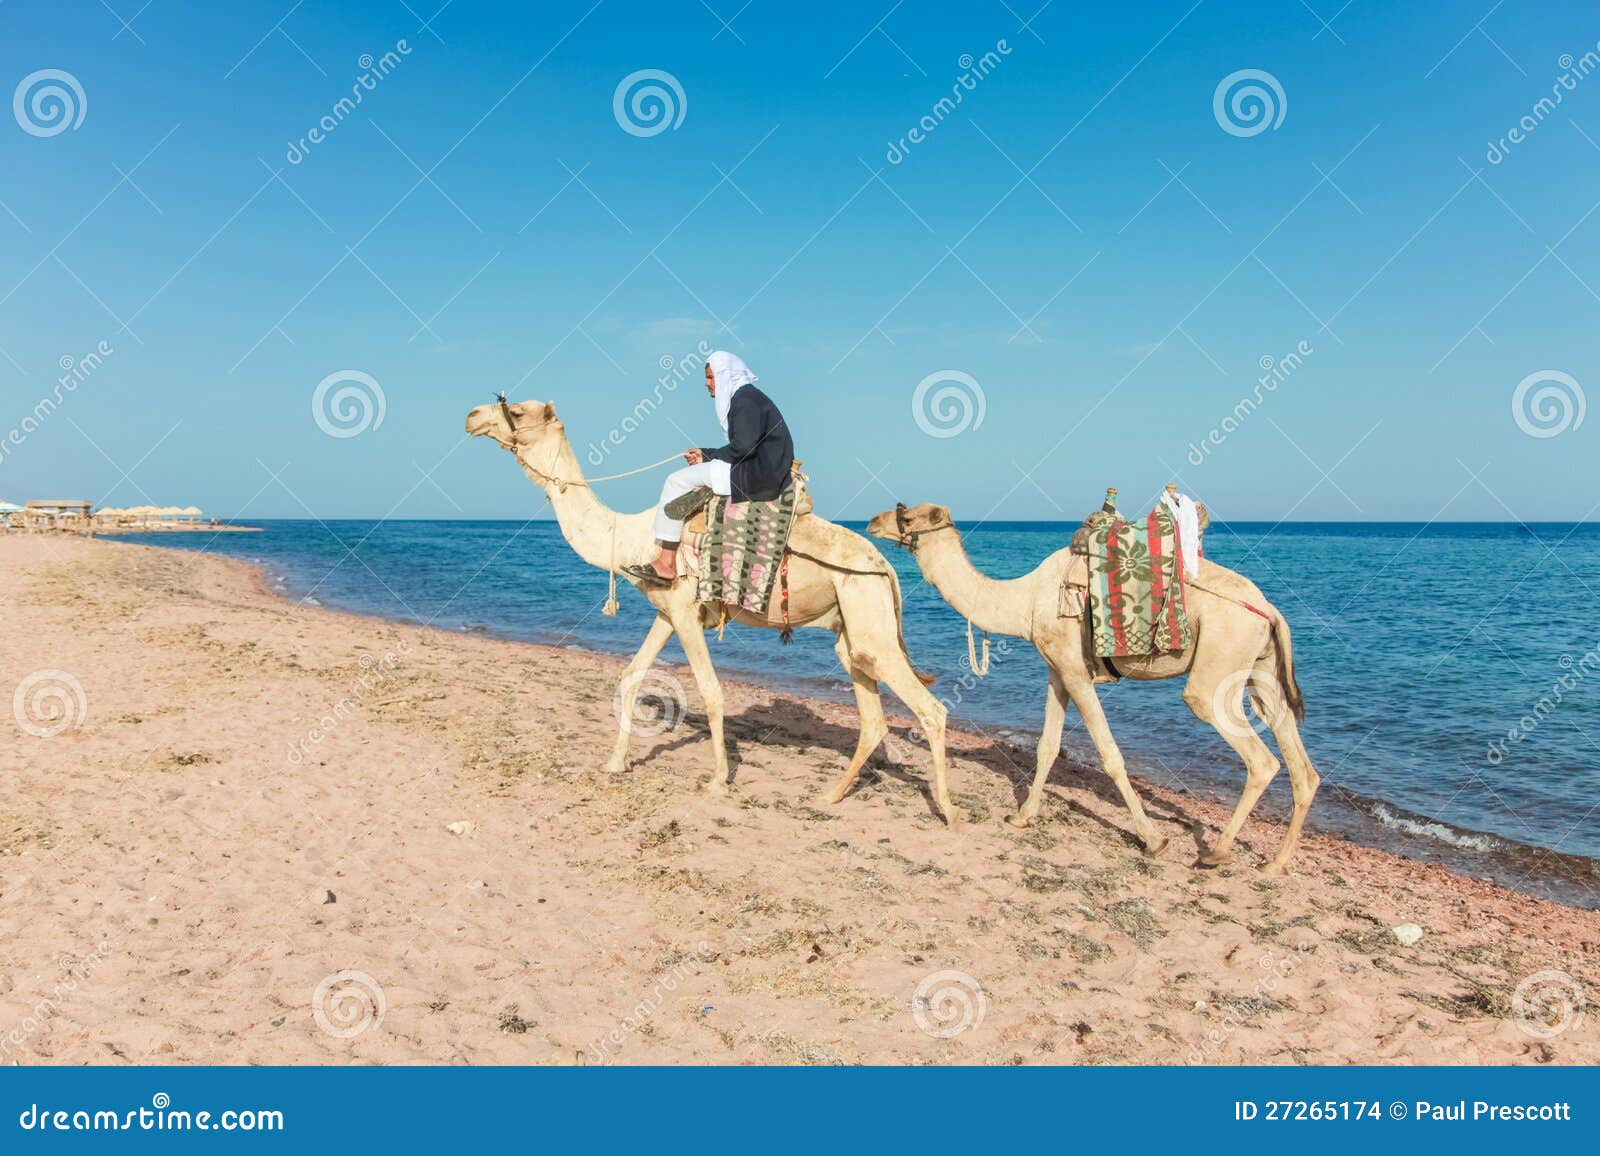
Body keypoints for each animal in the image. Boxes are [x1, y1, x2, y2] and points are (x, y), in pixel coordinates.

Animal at [464, 399, 957, 823]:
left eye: (517, 410)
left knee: (931, 711)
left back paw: (948, 812)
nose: (472, 416)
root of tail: (885, 567)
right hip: (852, 629)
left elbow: (711, 690)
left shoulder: (684, 612)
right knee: (872, 716)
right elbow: (630, 677)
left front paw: (718, 780)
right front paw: (616, 762)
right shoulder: (666, 613)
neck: (630, 537)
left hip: (868, 613)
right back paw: (830, 795)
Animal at [865, 503, 1321, 874]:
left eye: (907, 517)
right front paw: (1022, 816)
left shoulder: (1076, 672)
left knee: (1258, 756)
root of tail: (1271, 611)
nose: (872, 521)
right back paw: (1275, 863)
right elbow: (1047, 746)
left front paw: (1153, 839)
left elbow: (1110, 755)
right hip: (1261, 670)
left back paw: (1216, 852)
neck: (1025, 601)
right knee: (1296, 755)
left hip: (1219, 664)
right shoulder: (1057, 671)